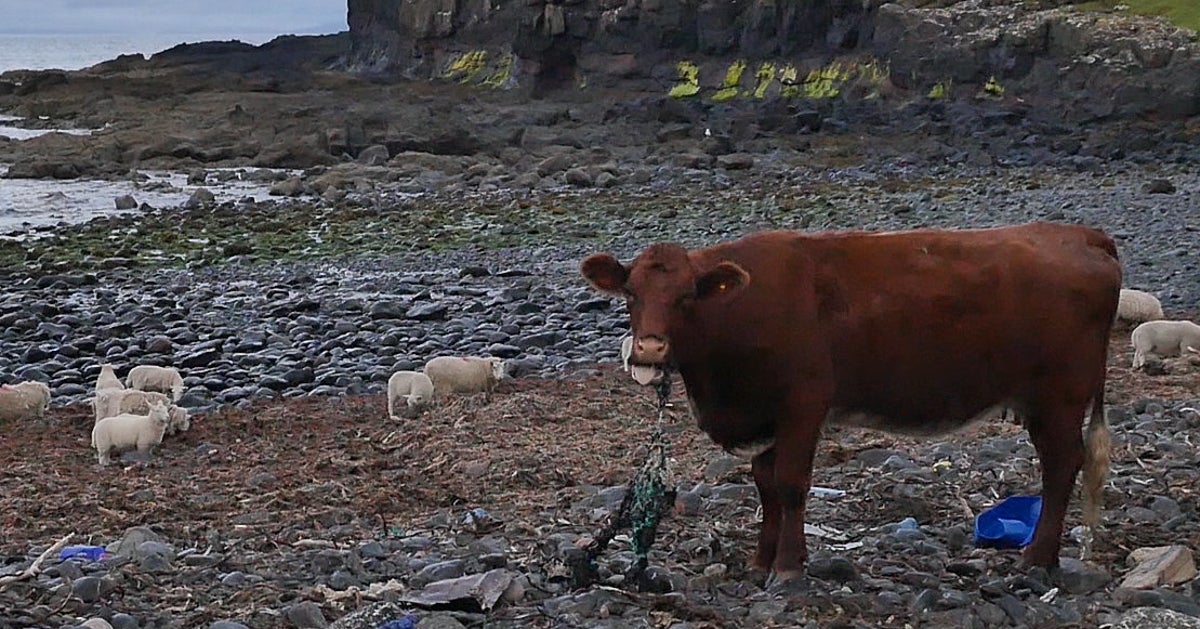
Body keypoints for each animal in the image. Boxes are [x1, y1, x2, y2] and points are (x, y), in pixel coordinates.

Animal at [580, 222, 1121, 583]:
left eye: (687, 296)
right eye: (631, 293)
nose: (650, 349)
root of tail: (1079, 233)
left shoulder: (804, 402)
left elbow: (791, 484)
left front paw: (787, 567)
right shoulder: (766, 413)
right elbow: (765, 486)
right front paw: (761, 561)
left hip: (1060, 394)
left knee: (1061, 466)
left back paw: (1037, 558)